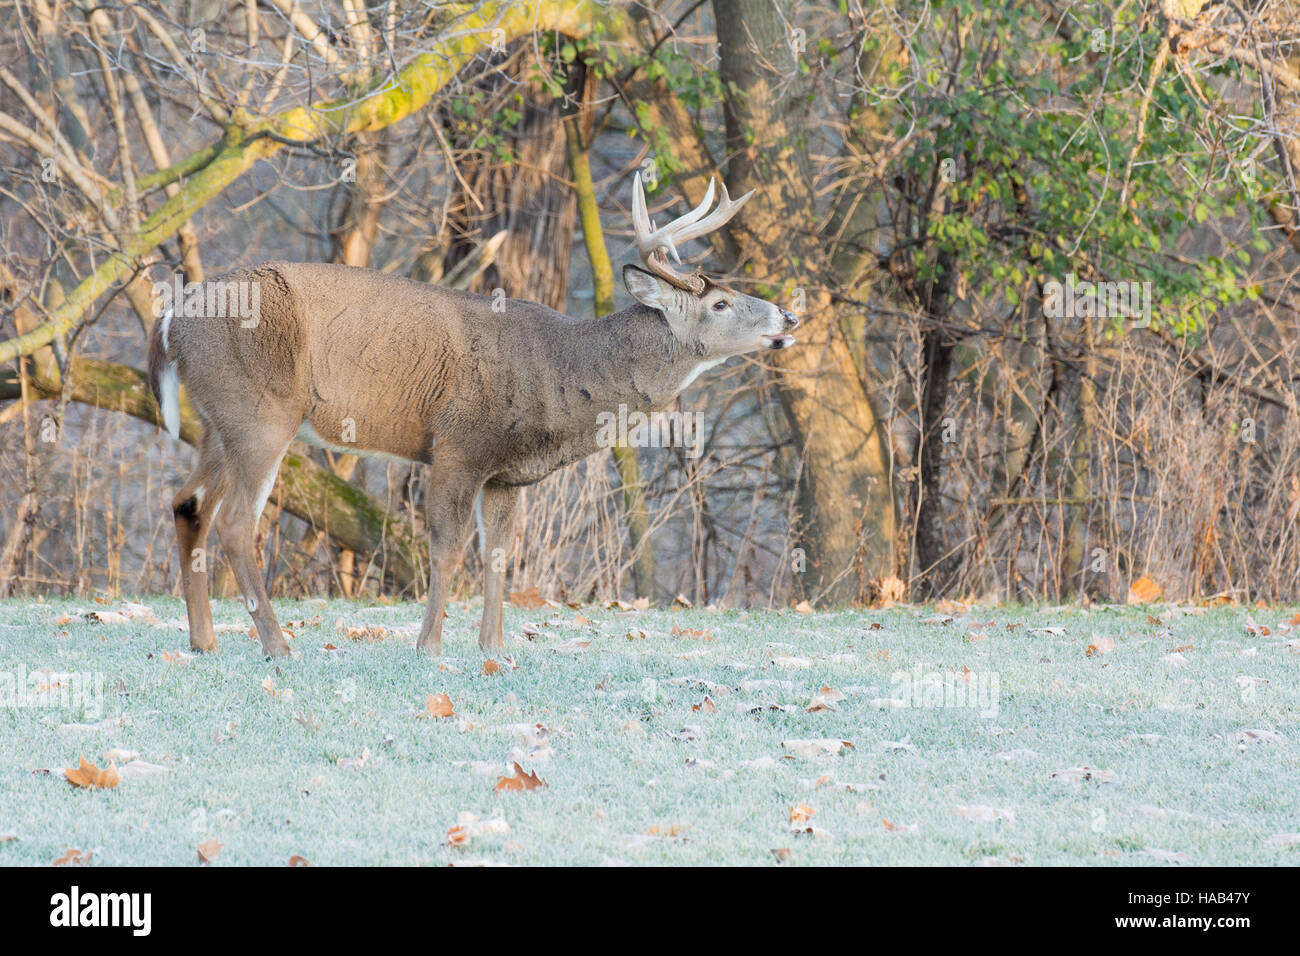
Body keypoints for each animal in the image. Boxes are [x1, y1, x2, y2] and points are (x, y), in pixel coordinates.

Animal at [147, 173, 798, 659]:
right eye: (721, 303)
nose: (788, 317)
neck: (561, 369)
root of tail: (174, 314)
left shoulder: (507, 474)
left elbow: (500, 556)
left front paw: (494, 649)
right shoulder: (458, 444)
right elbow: (447, 548)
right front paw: (429, 647)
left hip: (217, 422)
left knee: (187, 504)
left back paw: (205, 642)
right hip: (261, 414)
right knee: (236, 523)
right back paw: (278, 646)